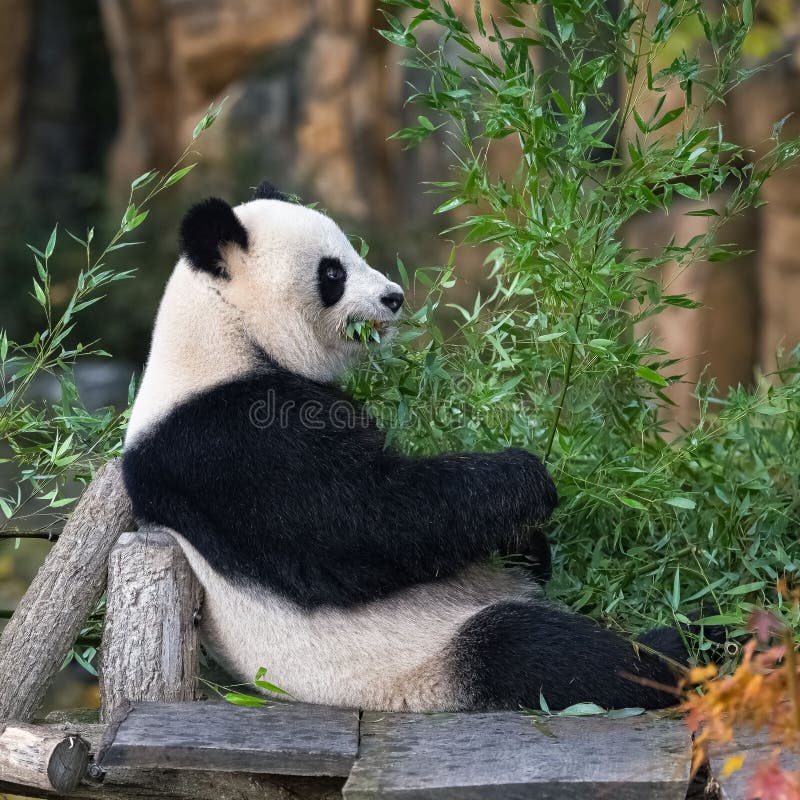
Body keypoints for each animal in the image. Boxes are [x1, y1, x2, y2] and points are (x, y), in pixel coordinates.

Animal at [123, 180, 691, 712]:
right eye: (333, 273)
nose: (393, 297)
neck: (223, 335)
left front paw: (529, 539)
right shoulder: (226, 440)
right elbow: (363, 519)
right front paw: (527, 479)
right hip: (421, 659)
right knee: (541, 653)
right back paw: (683, 645)